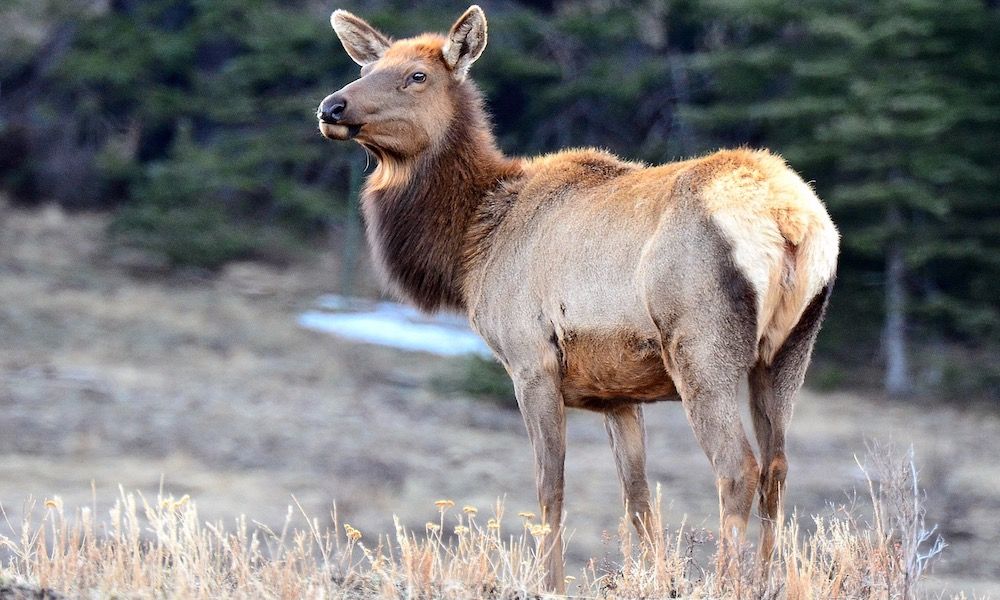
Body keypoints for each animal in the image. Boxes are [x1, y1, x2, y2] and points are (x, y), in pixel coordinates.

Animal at [317, 6, 839, 593]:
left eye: (417, 76)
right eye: (368, 67)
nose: (331, 106)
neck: (473, 246)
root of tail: (790, 221)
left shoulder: (530, 359)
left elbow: (550, 490)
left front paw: (551, 584)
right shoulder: (618, 392)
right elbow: (639, 500)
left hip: (702, 344)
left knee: (737, 467)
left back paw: (729, 581)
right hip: (789, 349)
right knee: (777, 467)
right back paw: (765, 581)